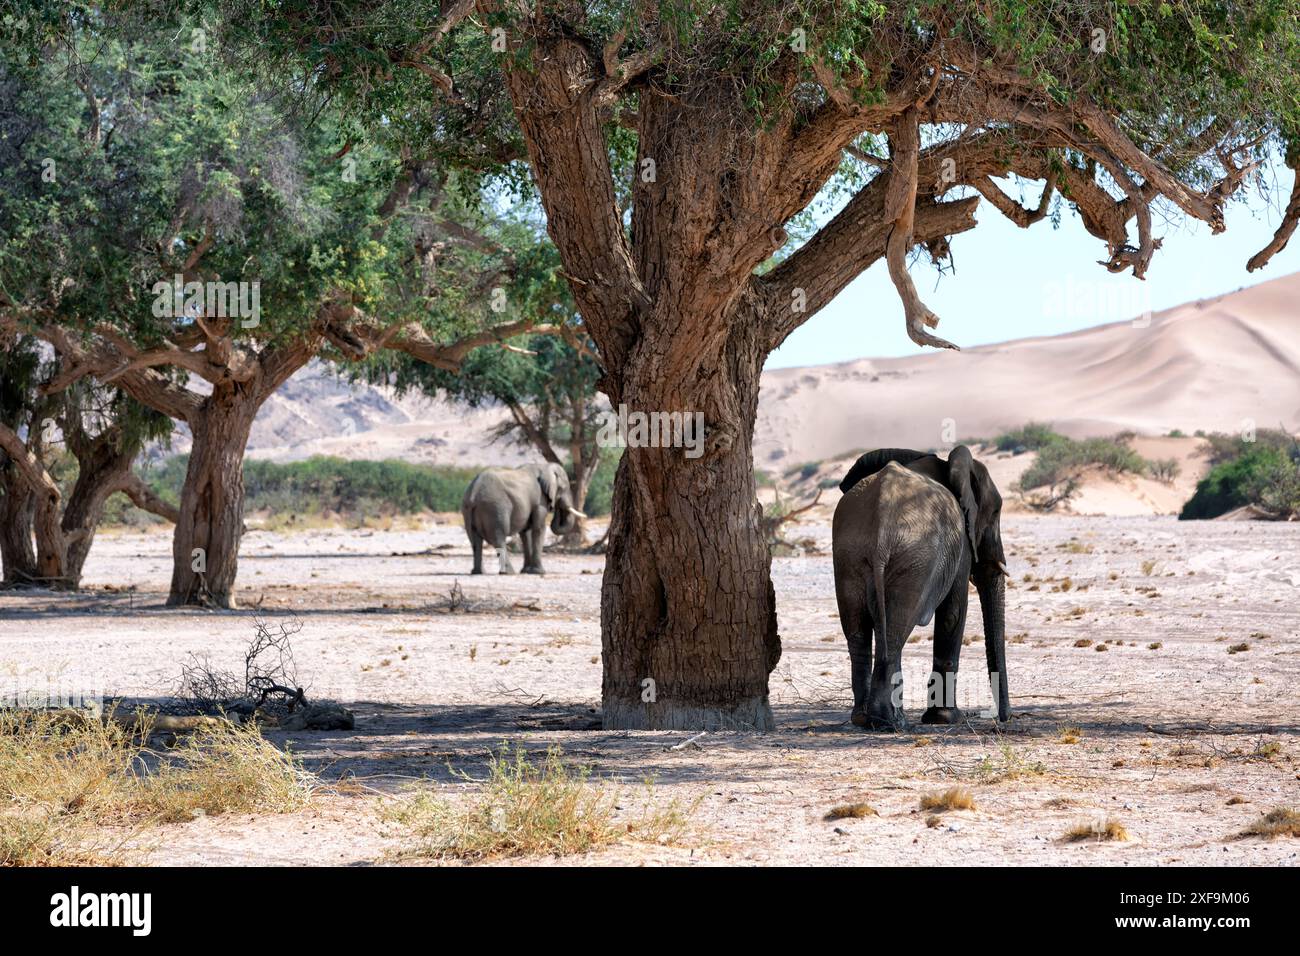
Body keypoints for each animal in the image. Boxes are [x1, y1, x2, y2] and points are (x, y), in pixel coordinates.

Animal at [835, 445, 1011, 726]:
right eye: (995, 512)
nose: (1003, 718)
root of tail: (880, 519)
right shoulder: (962, 543)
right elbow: (954, 612)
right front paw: (947, 718)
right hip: (915, 557)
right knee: (896, 628)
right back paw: (890, 722)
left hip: (849, 556)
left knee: (858, 630)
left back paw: (865, 719)